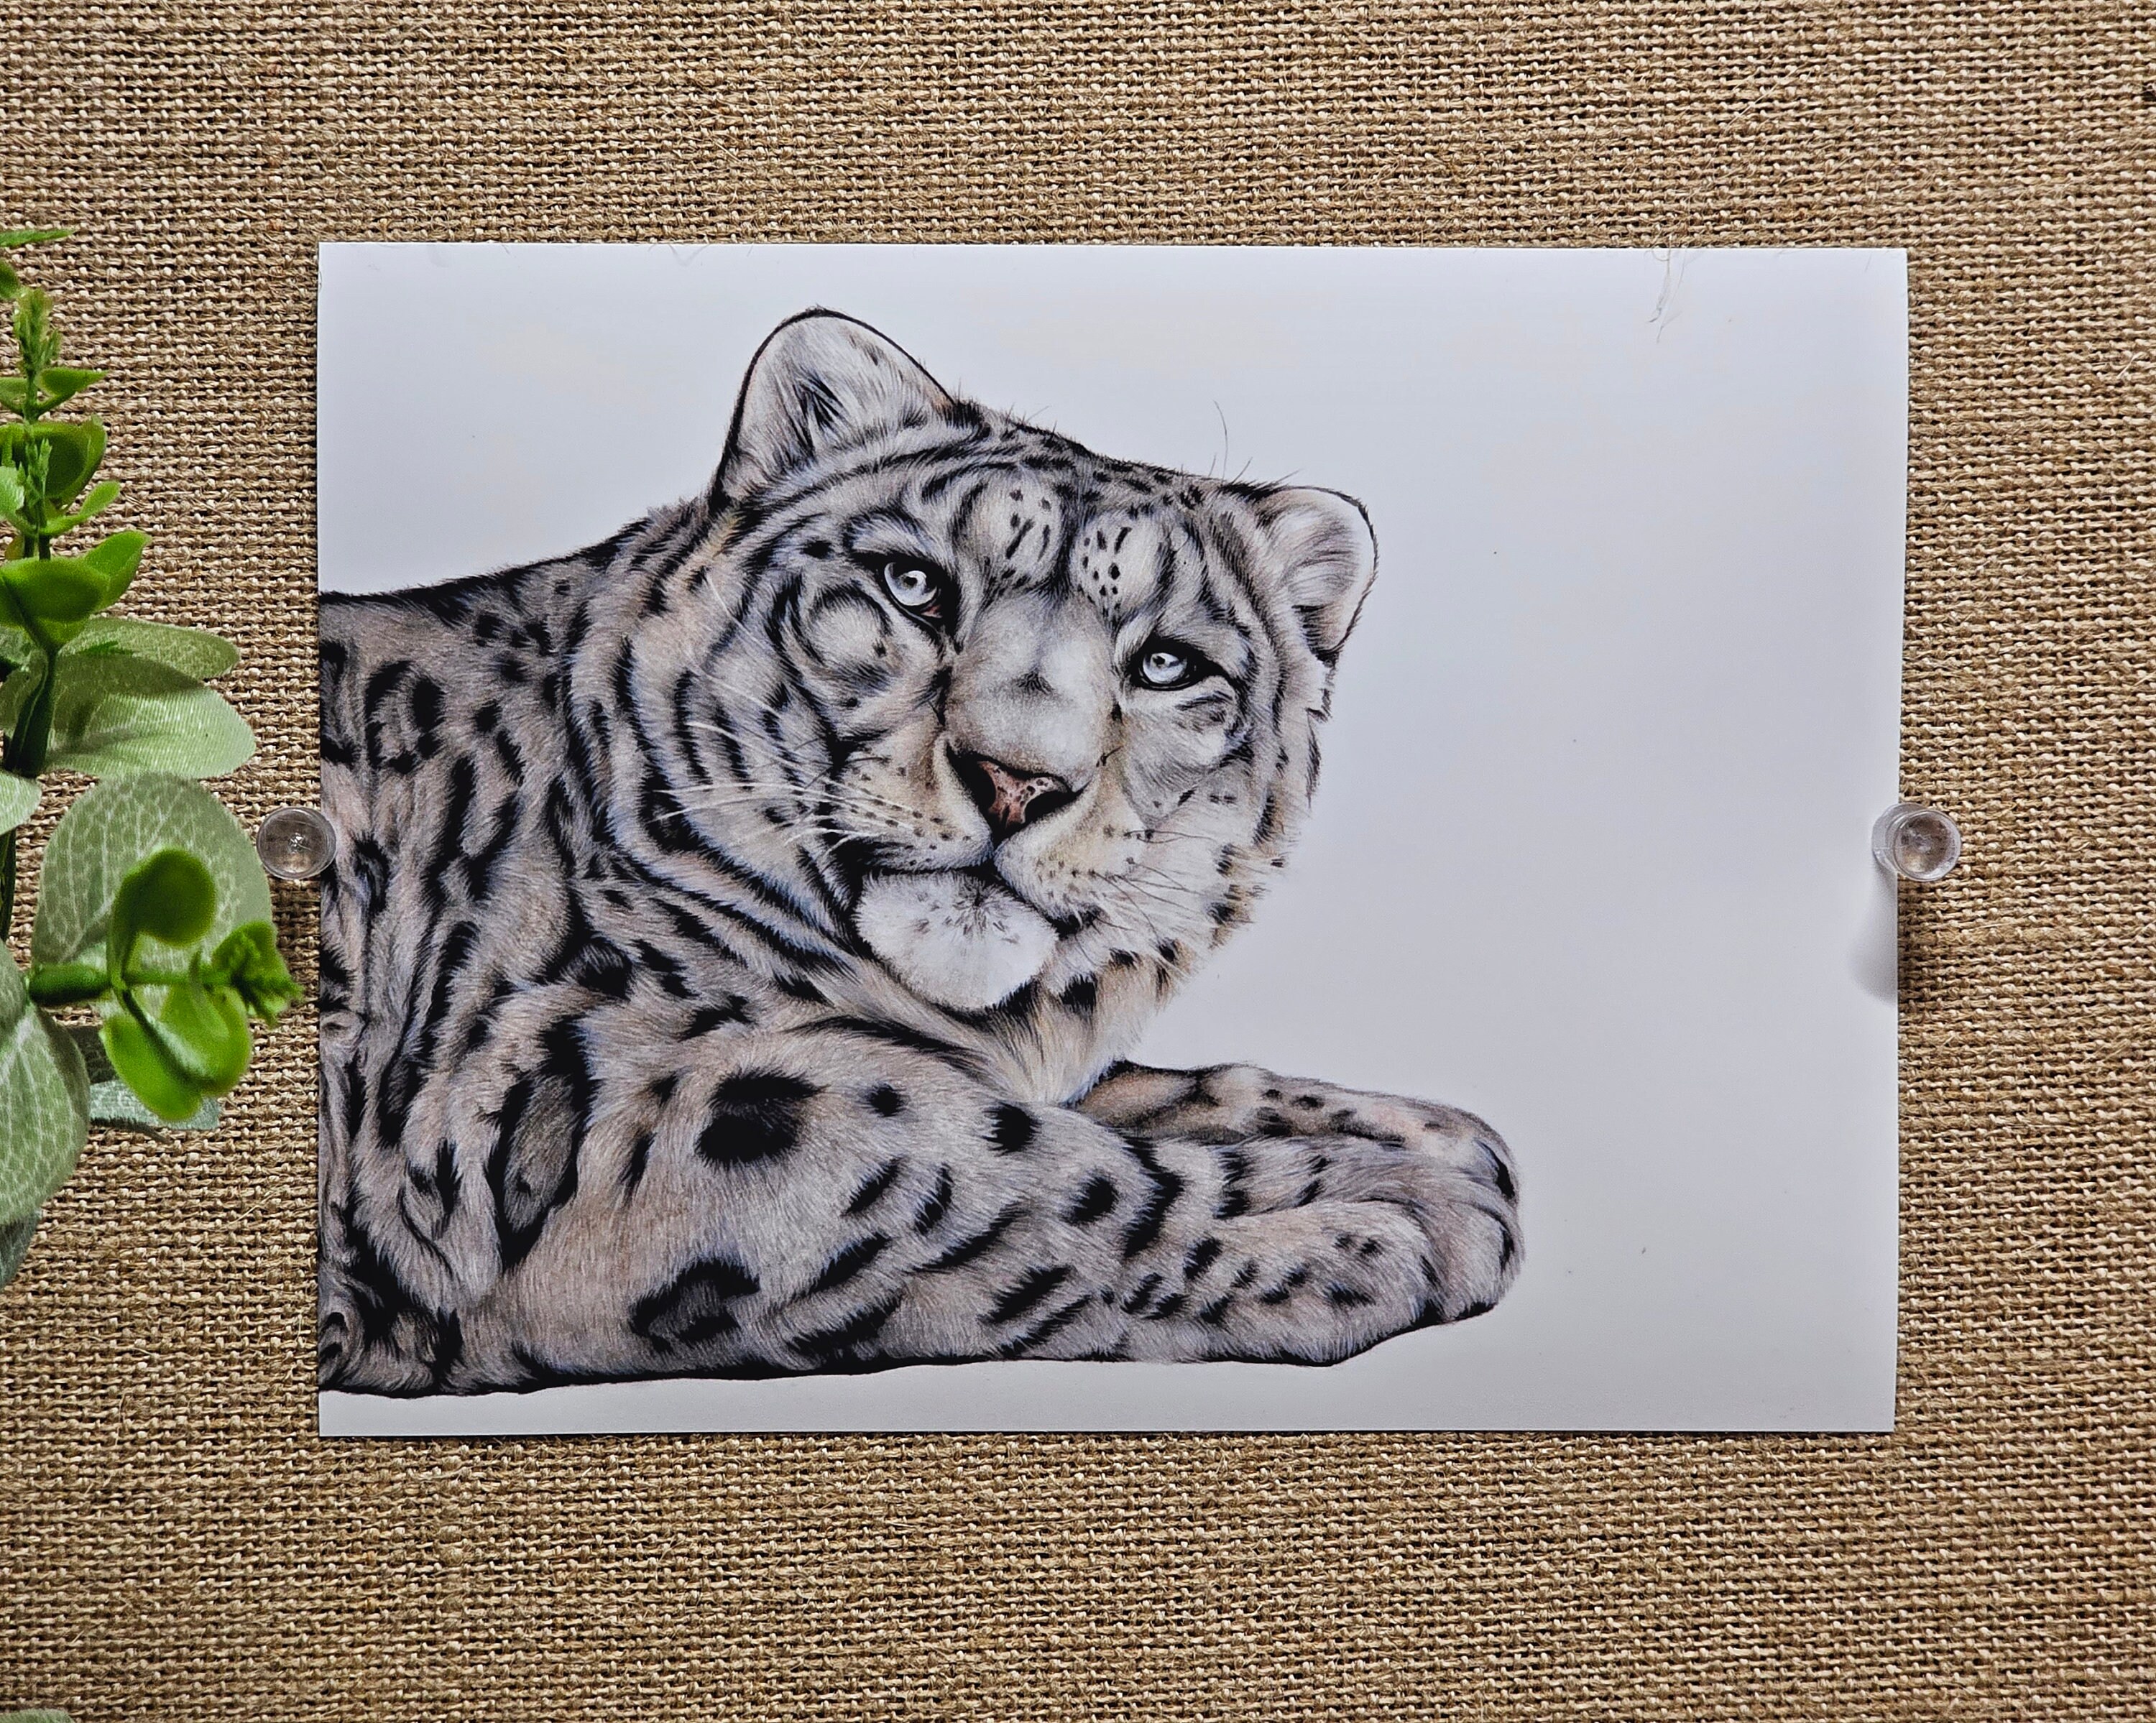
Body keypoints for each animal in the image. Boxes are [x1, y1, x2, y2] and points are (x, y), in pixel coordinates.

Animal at [317, 309, 1521, 1394]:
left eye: (1170, 664)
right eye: (914, 586)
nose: (1016, 778)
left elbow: (1139, 1095)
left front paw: (1437, 1137)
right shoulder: (629, 1100)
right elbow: (1022, 1163)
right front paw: (1396, 1212)